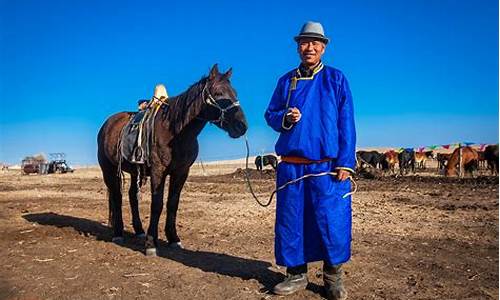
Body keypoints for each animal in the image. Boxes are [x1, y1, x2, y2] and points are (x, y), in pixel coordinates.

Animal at [96, 63, 247, 255]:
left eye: (234, 92)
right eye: (219, 93)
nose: (242, 126)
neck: (175, 132)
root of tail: (107, 124)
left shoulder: (181, 172)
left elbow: (172, 204)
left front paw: (173, 238)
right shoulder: (158, 171)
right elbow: (157, 204)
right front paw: (151, 244)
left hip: (134, 171)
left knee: (132, 197)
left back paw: (139, 230)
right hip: (108, 170)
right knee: (116, 197)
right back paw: (118, 233)